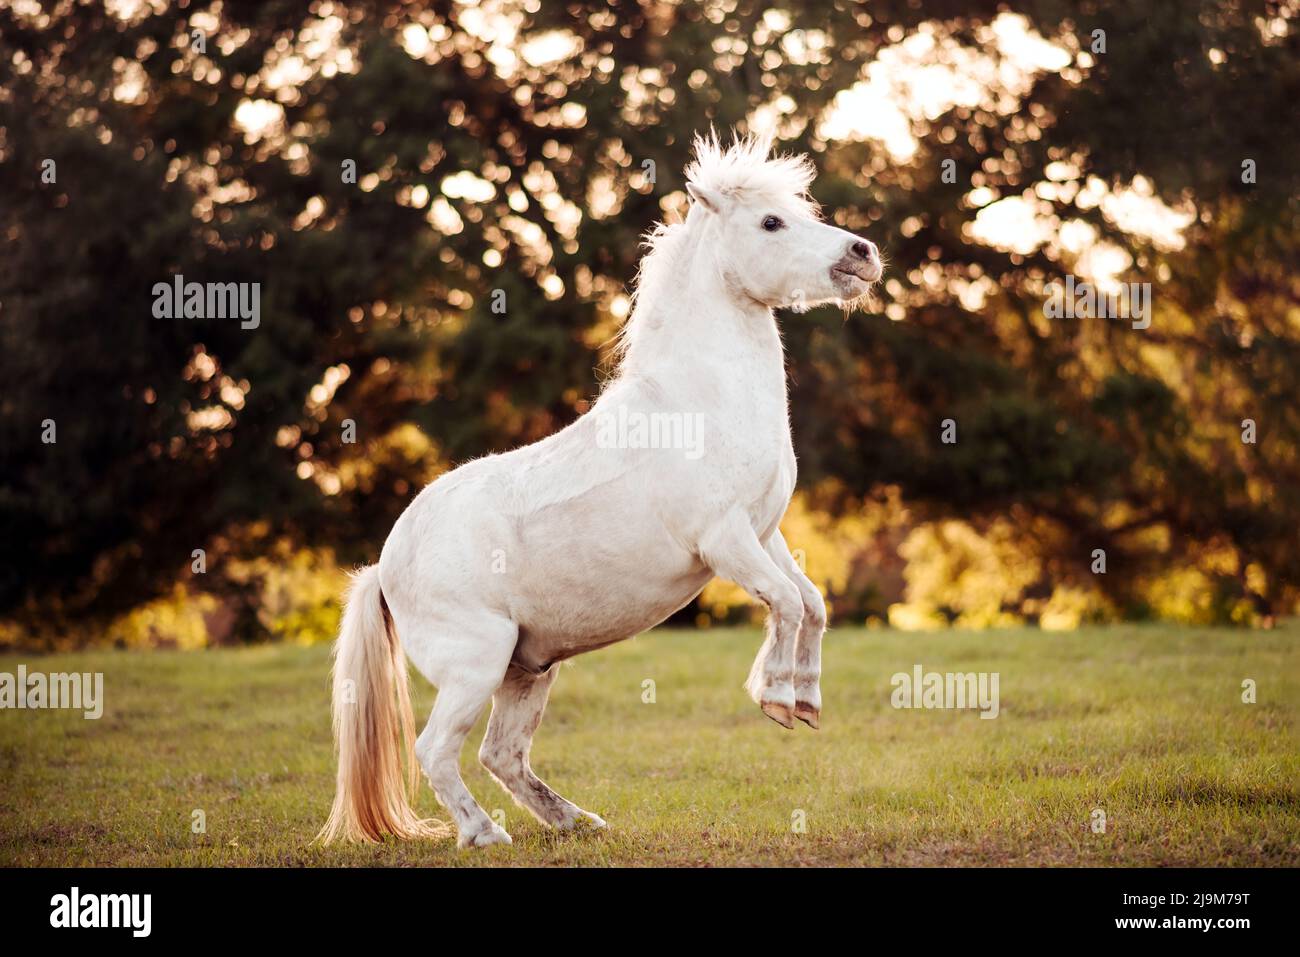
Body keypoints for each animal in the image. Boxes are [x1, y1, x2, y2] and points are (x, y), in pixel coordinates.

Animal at [319, 133, 882, 849]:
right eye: (771, 223)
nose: (862, 255)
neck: (697, 403)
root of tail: (385, 566)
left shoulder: (764, 532)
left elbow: (811, 603)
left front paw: (805, 699)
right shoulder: (725, 540)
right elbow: (784, 602)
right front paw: (778, 700)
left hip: (526, 667)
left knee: (502, 754)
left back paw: (577, 822)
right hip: (477, 663)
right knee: (436, 750)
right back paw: (484, 834)